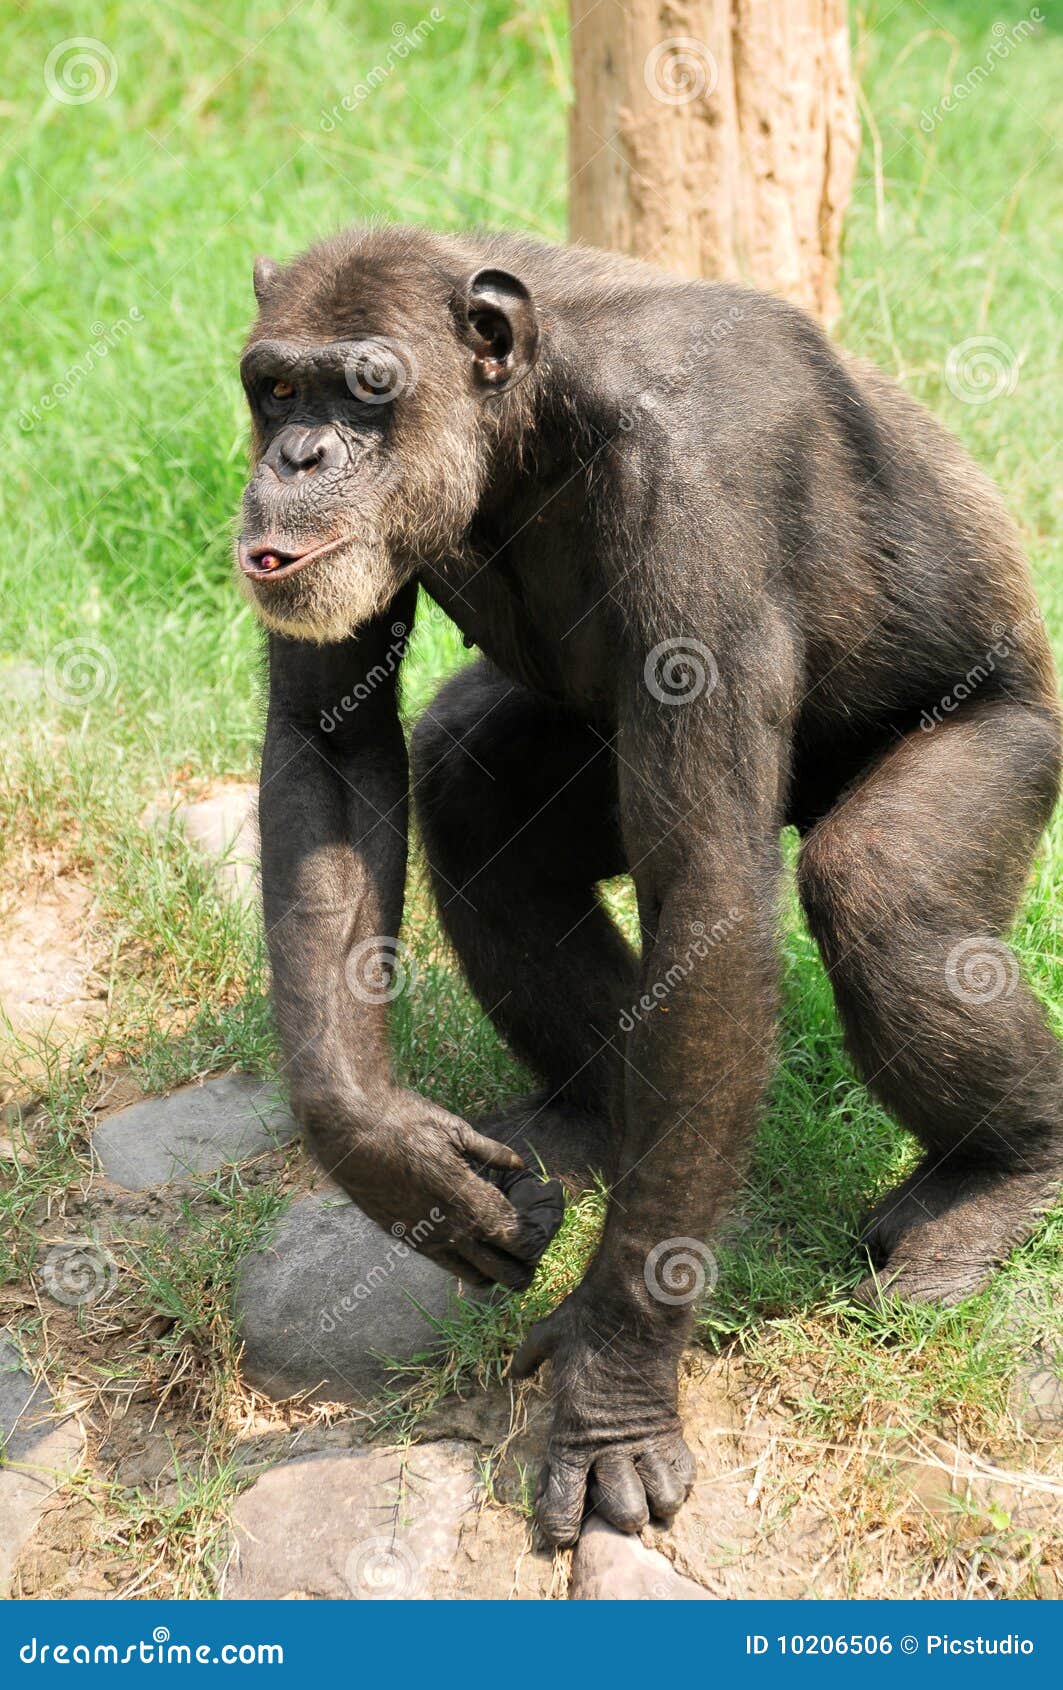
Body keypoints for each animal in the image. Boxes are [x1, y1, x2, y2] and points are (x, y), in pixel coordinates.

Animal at [236, 224, 1062, 1546]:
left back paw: (1000, 1178)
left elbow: (708, 898)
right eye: (273, 389)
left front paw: (611, 1390)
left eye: (365, 389)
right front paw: (388, 1156)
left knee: (881, 892)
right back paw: (593, 1118)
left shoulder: (699, 493)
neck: (520, 417)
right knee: (466, 784)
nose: (298, 455)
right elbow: (329, 743)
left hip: (1009, 743)